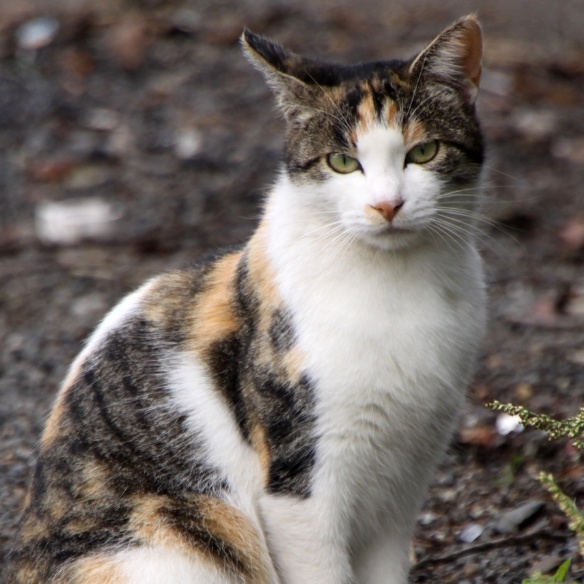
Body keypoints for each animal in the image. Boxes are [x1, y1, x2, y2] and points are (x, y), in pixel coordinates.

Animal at [8, 14, 486, 584]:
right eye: (343, 162)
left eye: (423, 152)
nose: (387, 205)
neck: (396, 286)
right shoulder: (299, 485)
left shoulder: (406, 477)